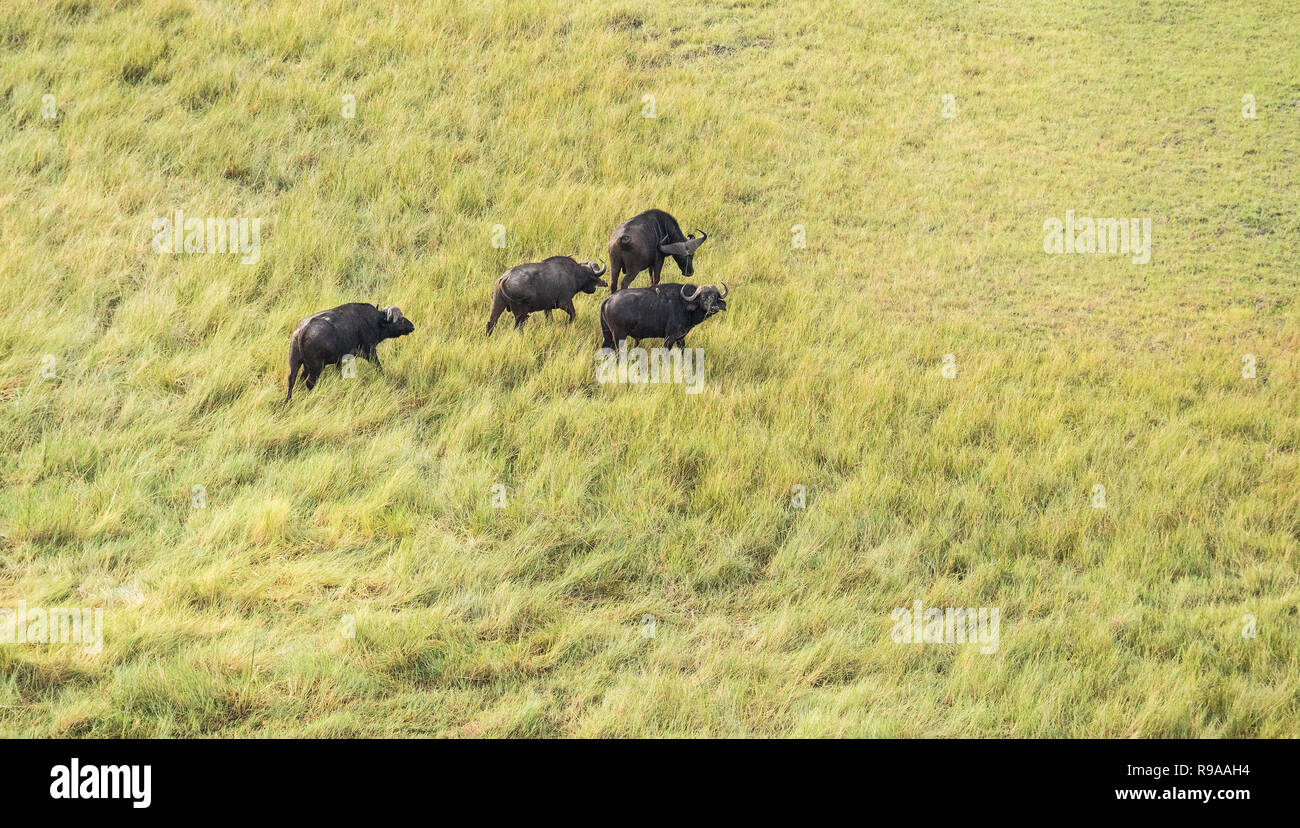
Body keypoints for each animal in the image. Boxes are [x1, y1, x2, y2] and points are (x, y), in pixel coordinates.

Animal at [286, 303, 415, 402]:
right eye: (400, 319)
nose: (412, 327)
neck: (375, 321)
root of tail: (303, 329)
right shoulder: (370, 352)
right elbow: (379, 367)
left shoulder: (339, 360)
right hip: (316, 366)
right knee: (309, 383)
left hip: (296, 361)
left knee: (292, 378)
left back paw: (289, 400)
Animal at [599, 282, 728, 350]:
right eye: (703, 297)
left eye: (715, 297)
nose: (714, 308)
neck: (684, 304)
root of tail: (609, 299)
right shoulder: (669, 338)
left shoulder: (680, 338)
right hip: (619, 336)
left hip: (607, 334)